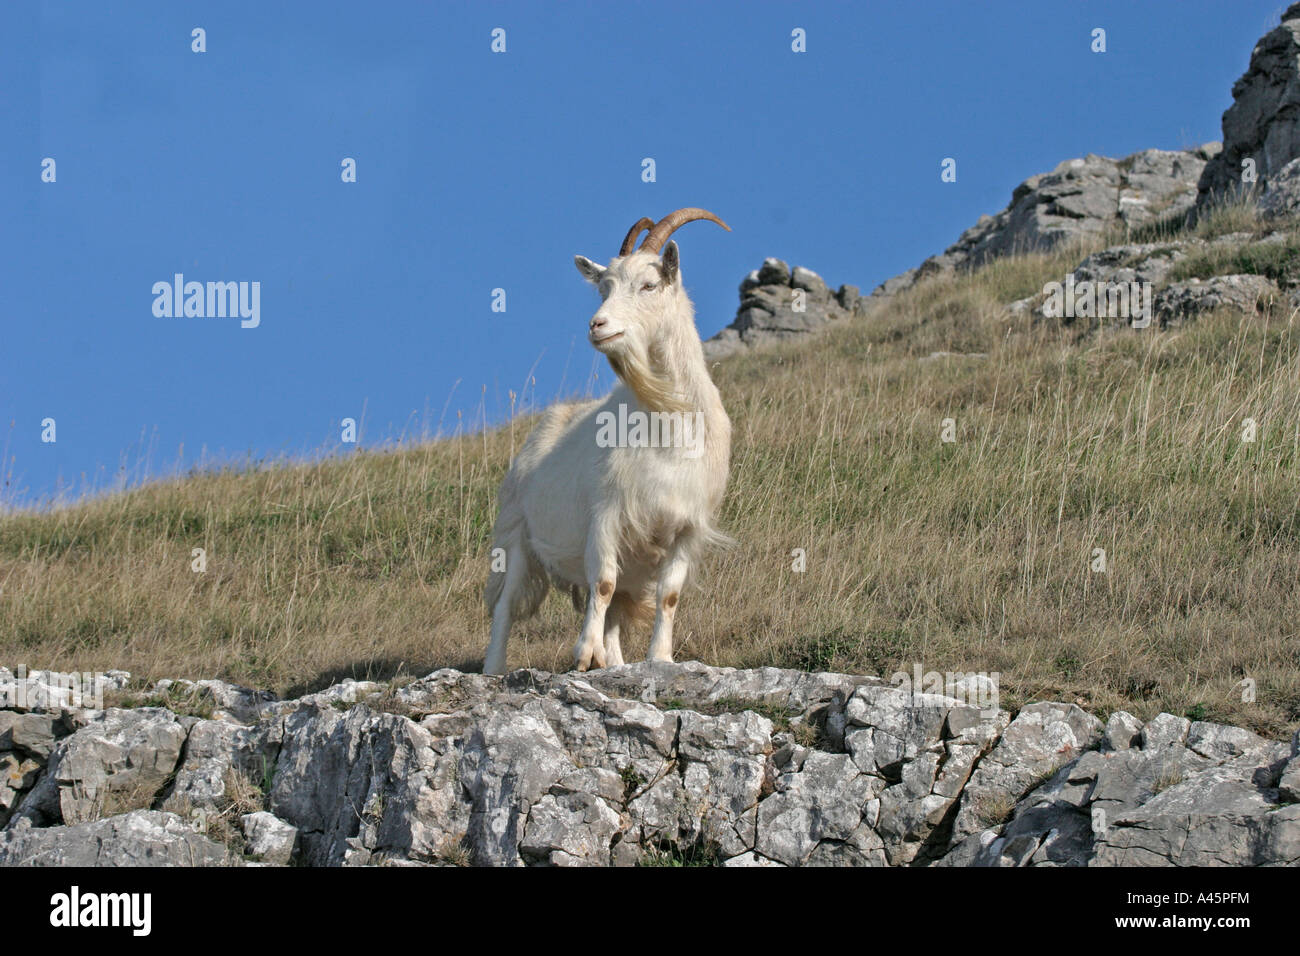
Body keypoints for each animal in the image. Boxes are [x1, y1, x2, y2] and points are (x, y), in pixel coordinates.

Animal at [482, 208, 733, 675]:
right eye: (604, 288)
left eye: (649, 284)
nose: (597, 326)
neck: (666, 421)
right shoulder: (606, 514)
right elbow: (601, 583)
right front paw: (583, 655)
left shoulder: (686, 527)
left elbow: (668, 596)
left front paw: (660, 659)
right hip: (517, 536)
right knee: (506, 606)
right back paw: (493, 669)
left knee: (617, 610)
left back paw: (614, 663)